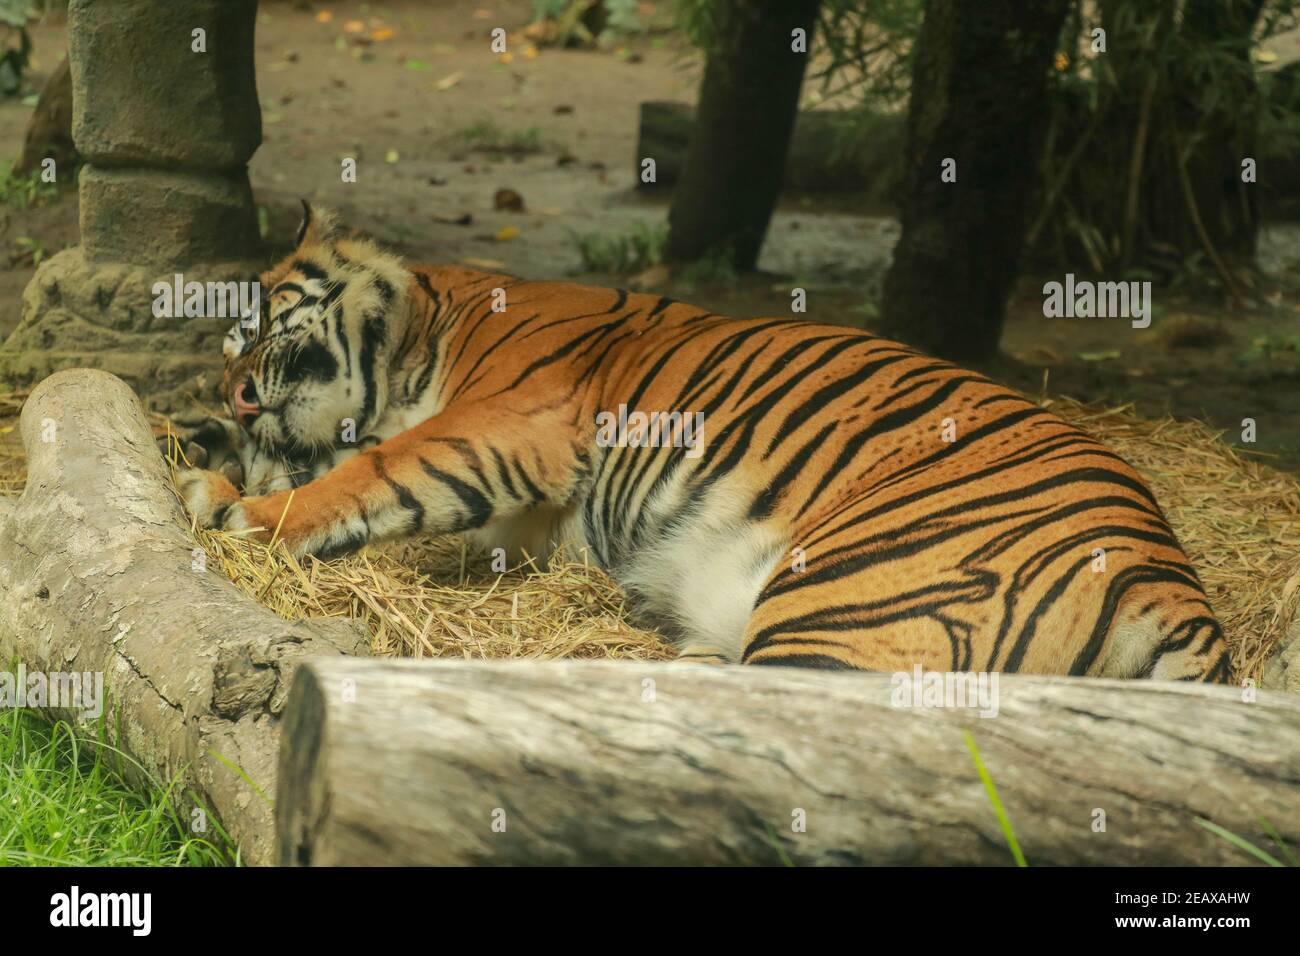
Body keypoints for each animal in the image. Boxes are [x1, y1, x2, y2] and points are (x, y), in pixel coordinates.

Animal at [170, 204, 1231, 680]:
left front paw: (231, 503)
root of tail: (1169, 582)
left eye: (249, 328)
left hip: (839, 598)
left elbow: (370, 474)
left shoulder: (509, 420)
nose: (238, 398)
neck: (432, 324)